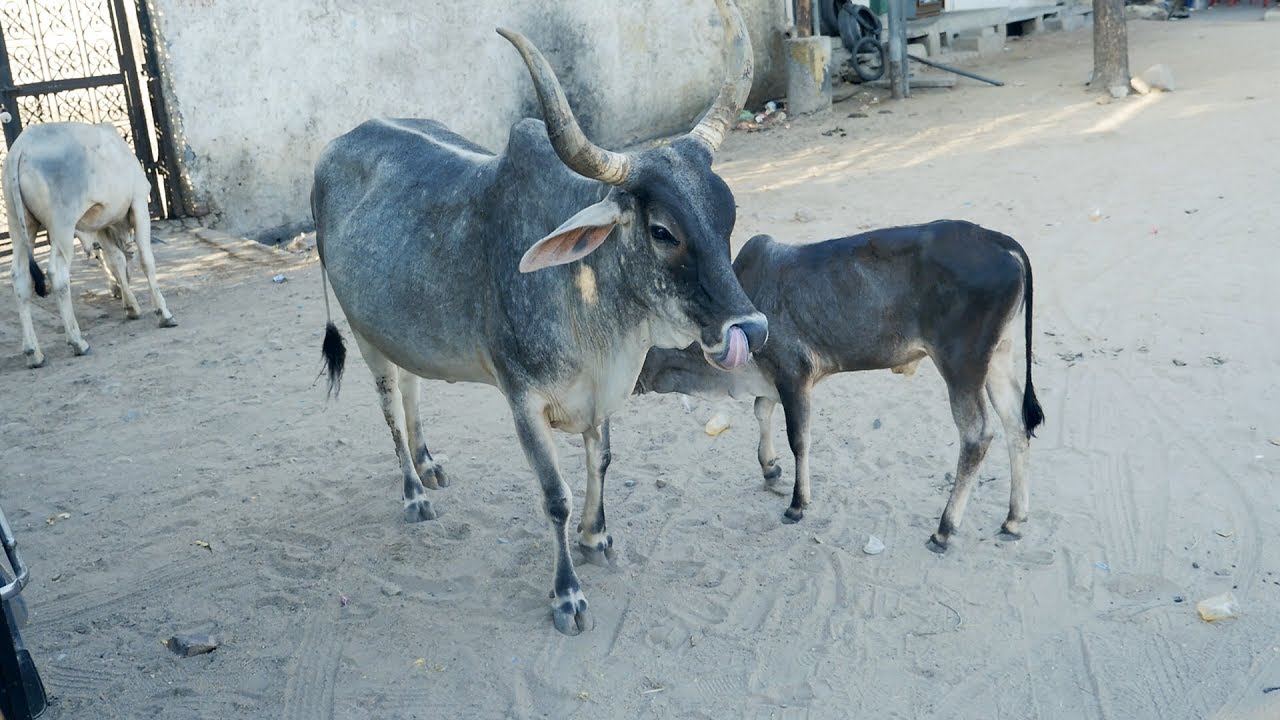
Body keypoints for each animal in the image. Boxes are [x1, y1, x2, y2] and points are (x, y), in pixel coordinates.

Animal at [3, 121, 177, 368]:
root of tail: (20, 148)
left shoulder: (101, 224)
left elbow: (116, 261)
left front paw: (131, 307)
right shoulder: (139, 205)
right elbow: (145, 260)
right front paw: (163, 313)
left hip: (20, 226)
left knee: (19, 277)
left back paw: (33, 353)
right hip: (62, 225)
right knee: (57, 273)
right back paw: (77, 342)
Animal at [312, 0, 768, 635]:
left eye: (728, 215)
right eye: (662, 231)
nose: (750, 329)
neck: (592, 307)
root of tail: (335, 147)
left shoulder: (603, 397)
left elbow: (601, 459)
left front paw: (597, 538)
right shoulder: (523, 400)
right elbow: (555, 497)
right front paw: (567, 595)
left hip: (400, 329)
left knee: (410, 388)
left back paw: (430, 465)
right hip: (365, 336)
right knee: (390, 411)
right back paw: (413, 491)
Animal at [635, 220, 1045, 553]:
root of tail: (997, 240)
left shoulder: (794, 375)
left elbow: (798, 439)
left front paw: (797, 504)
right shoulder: (770, 378)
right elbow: (761, 410)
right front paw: (769, 468)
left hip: (961, 365)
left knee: (977, 434)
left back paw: (944, 530)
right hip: (999, 357)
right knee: (1015, 424)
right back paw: (1013, 519)